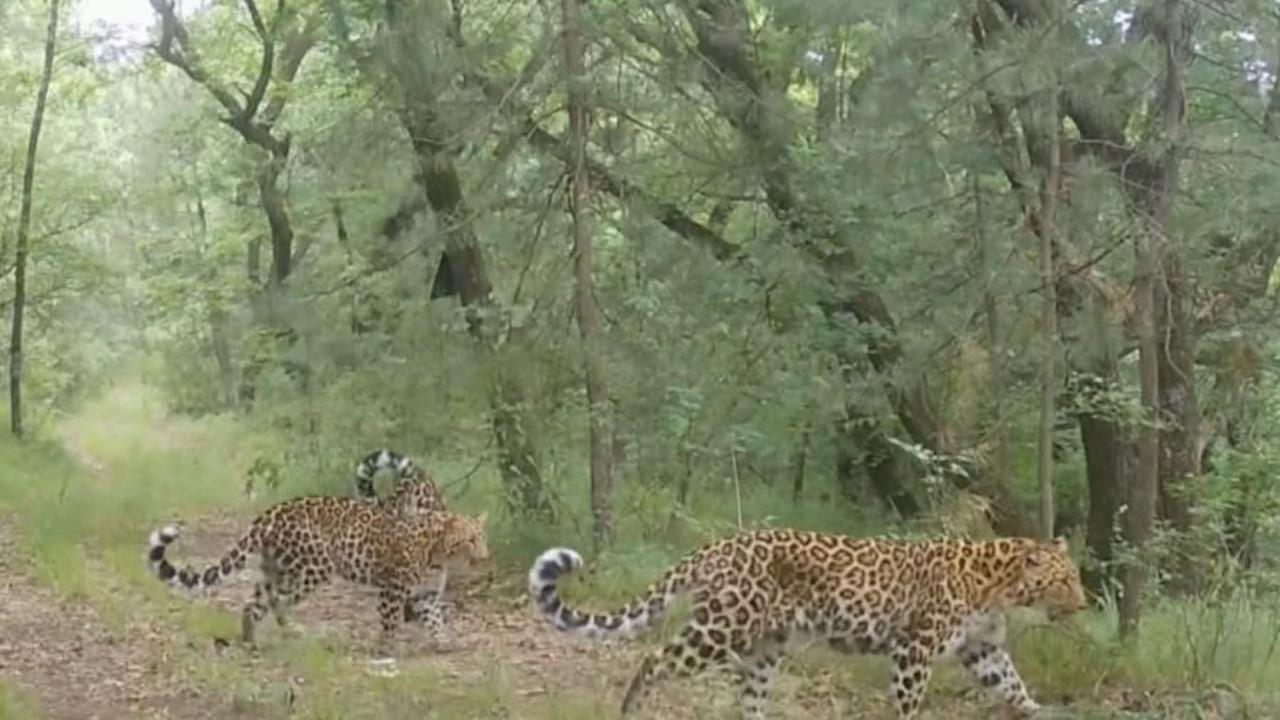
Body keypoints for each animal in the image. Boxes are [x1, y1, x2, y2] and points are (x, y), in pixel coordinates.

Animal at [148, 496, 489, 651]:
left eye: (482, 537)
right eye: (470, 540)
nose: (486, 556)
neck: (439, 553)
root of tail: (269, 515)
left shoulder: (426, 594)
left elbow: (434, 619)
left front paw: (444, 642)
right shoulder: (392, 589)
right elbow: (391, 620)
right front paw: (386, 648)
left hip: (274, 568)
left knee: (255, 603)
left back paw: (251, 640)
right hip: (315, 566)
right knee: (279, 600)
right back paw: (291, 632)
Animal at [529, 529, 1087, 720]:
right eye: (1064, 581)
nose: (1083, 605)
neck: (998, 588)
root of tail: (717, 546)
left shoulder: (982, 649)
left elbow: (1014, 685)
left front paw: (1038, 712)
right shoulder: (914, 649)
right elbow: (909, 703)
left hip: (765, 646)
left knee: (750, 696)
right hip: (721, 629)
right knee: (654, 658)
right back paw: (632, 709)